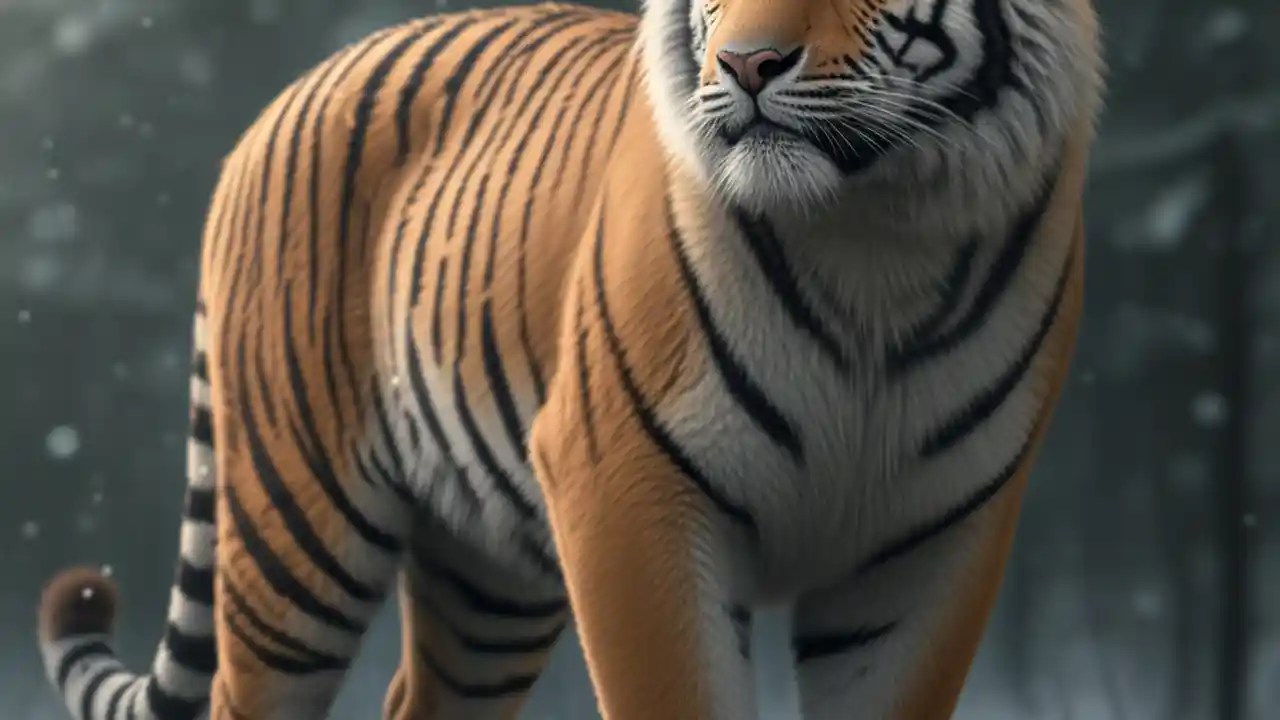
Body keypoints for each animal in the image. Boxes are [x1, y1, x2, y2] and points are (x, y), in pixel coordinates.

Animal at [36, 0, 1104, 717]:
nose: (747, 64)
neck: (874, 235)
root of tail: (288, 97)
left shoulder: (938, 539)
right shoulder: (631, 493)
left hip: (487, 577)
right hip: (296, 531)